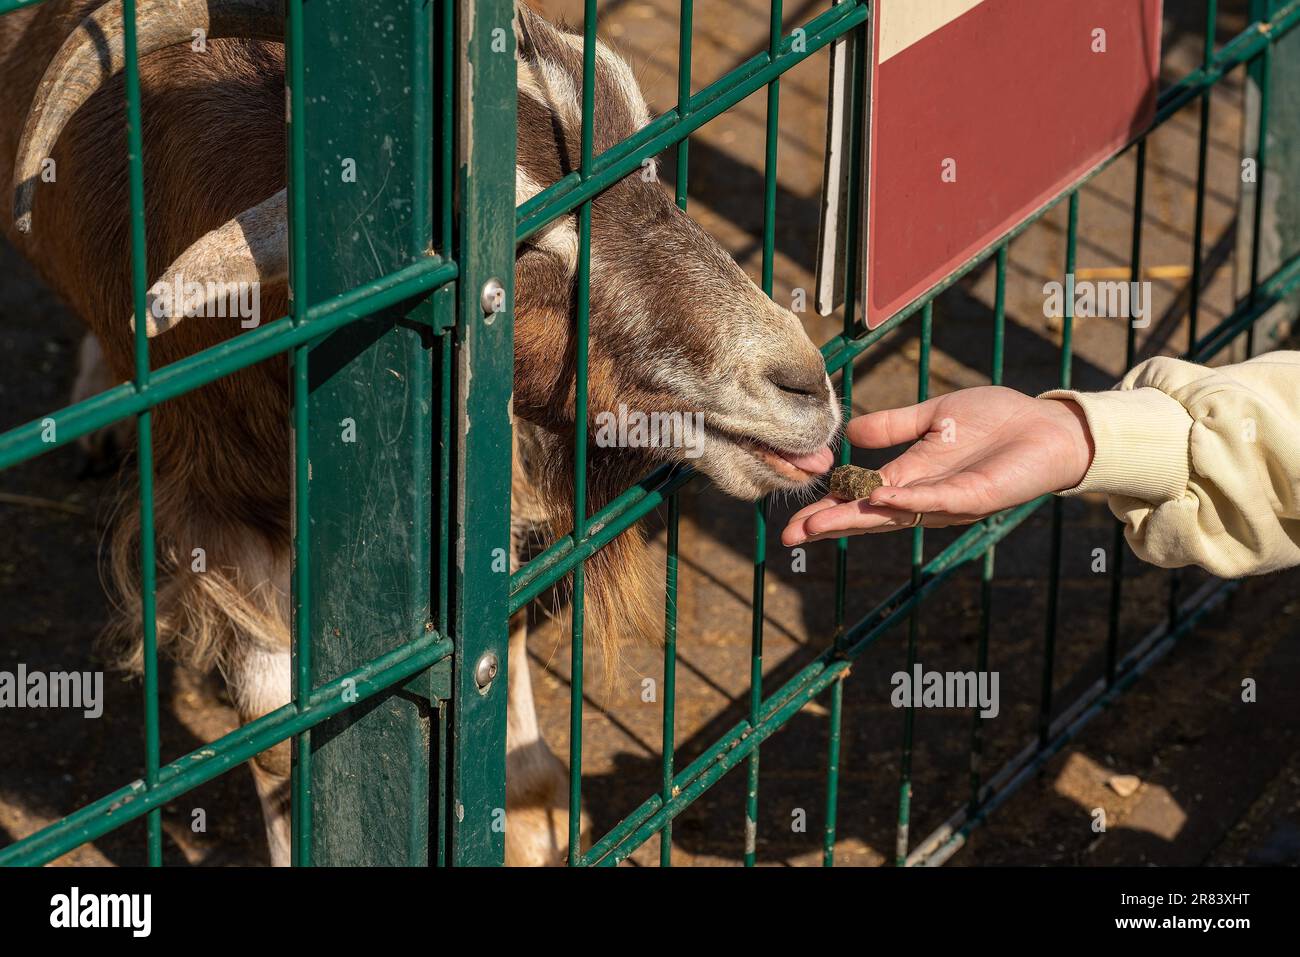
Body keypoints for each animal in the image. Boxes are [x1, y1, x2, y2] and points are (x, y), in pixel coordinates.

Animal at [0, 0, 839, 865]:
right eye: (526, 242)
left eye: (644, 156)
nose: (803, 385)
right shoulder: (216, 495)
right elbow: (275, 716)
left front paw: (531, 806)